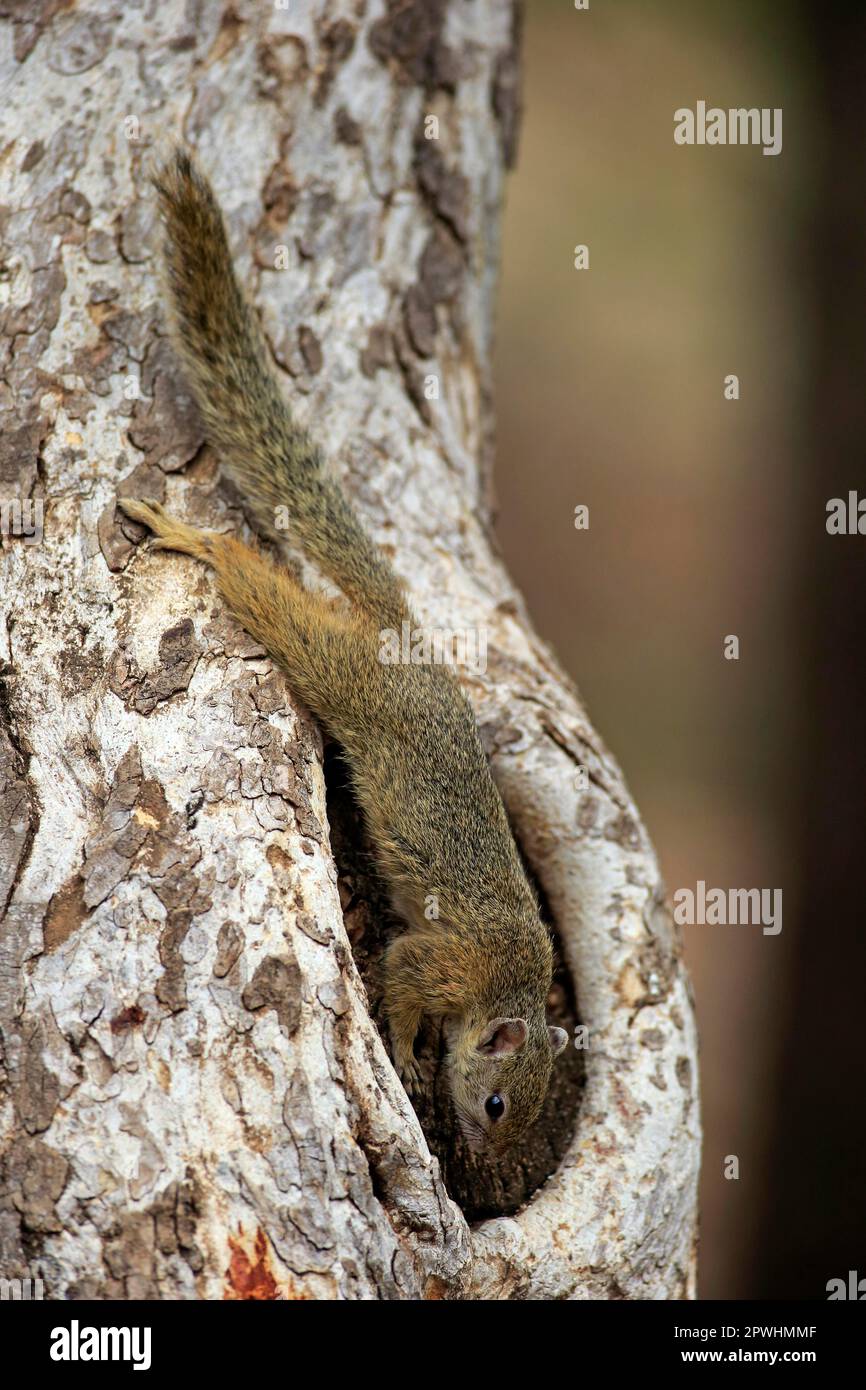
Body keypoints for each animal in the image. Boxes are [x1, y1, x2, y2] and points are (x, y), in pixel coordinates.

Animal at [119, 150, 568, 1154]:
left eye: (521, 1122)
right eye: (495, 1104)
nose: (479, 1152)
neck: (506, 982)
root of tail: (402, 640)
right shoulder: (435, 958)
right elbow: (398, 979)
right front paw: (404, 1051)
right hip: (335, 668)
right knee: (258, 583)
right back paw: (193, 538)